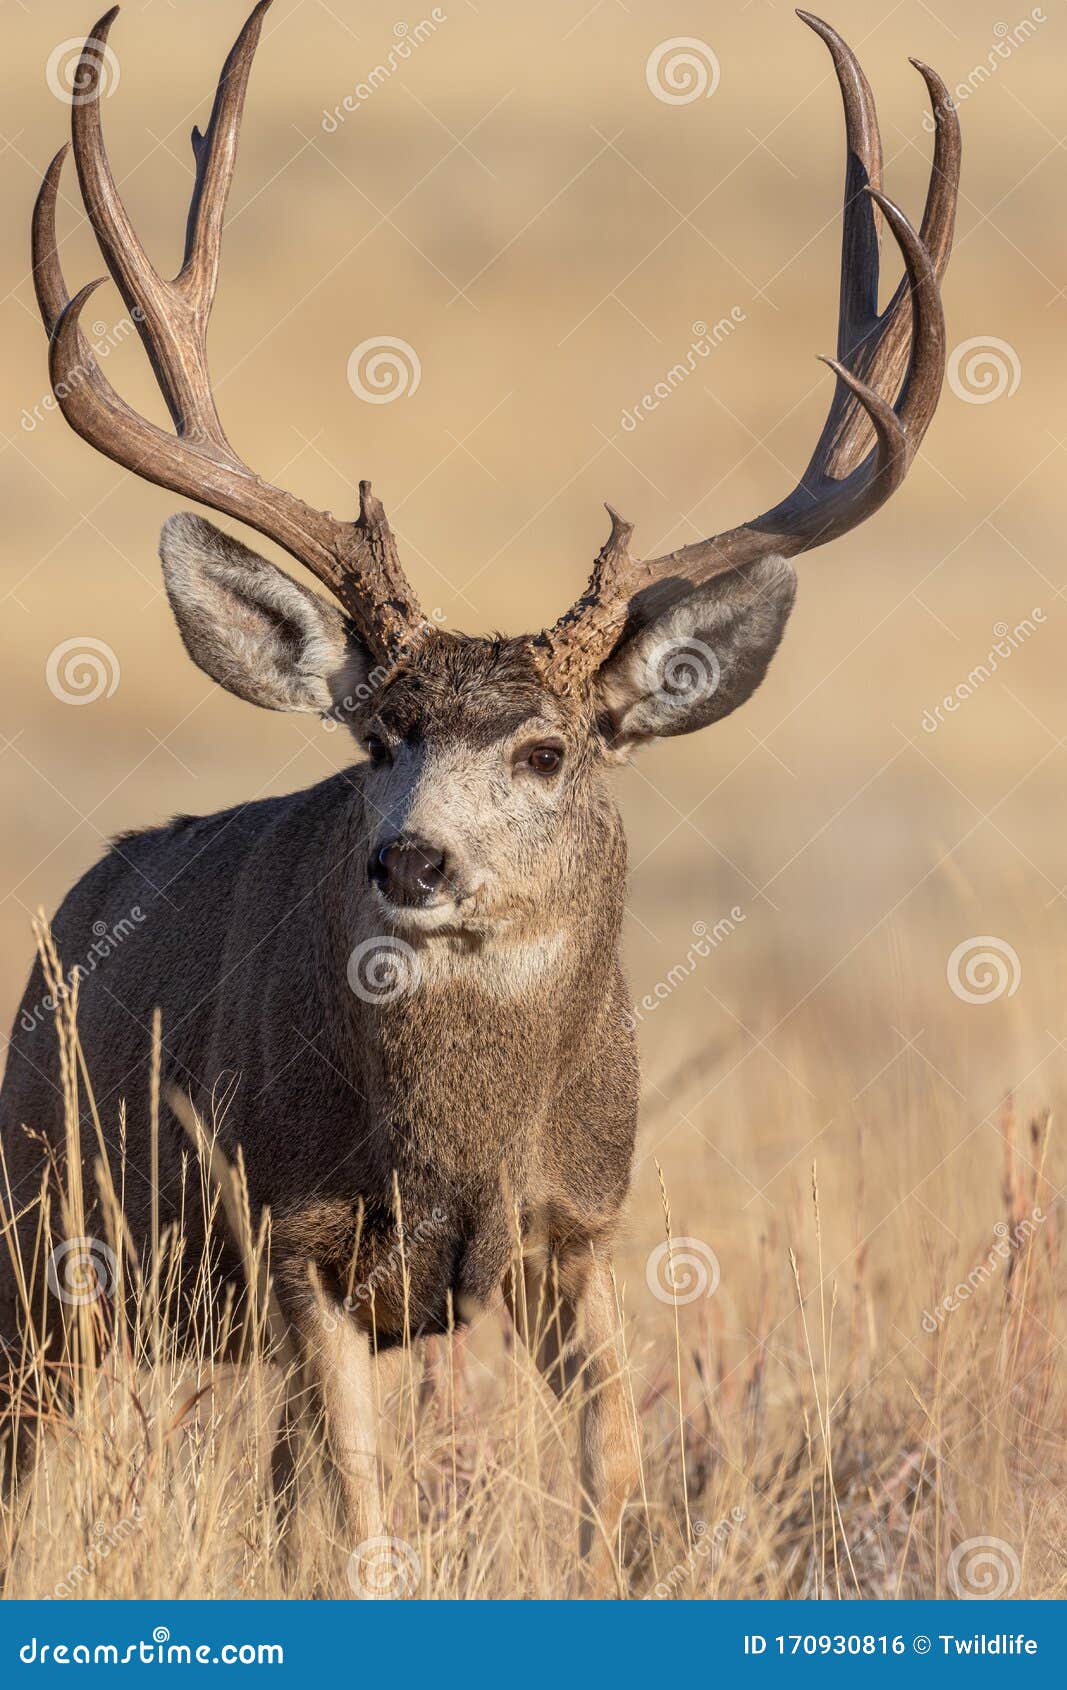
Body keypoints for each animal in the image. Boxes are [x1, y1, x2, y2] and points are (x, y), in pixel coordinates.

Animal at [1, 3, 959, 1588]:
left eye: (547, 751)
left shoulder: (577, 1231)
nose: (412, 861)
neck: (458, 1136)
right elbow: (360, 1519)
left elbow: (612, 1478)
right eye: (377, 735)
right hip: (46, 1237)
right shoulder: (289, 1230)